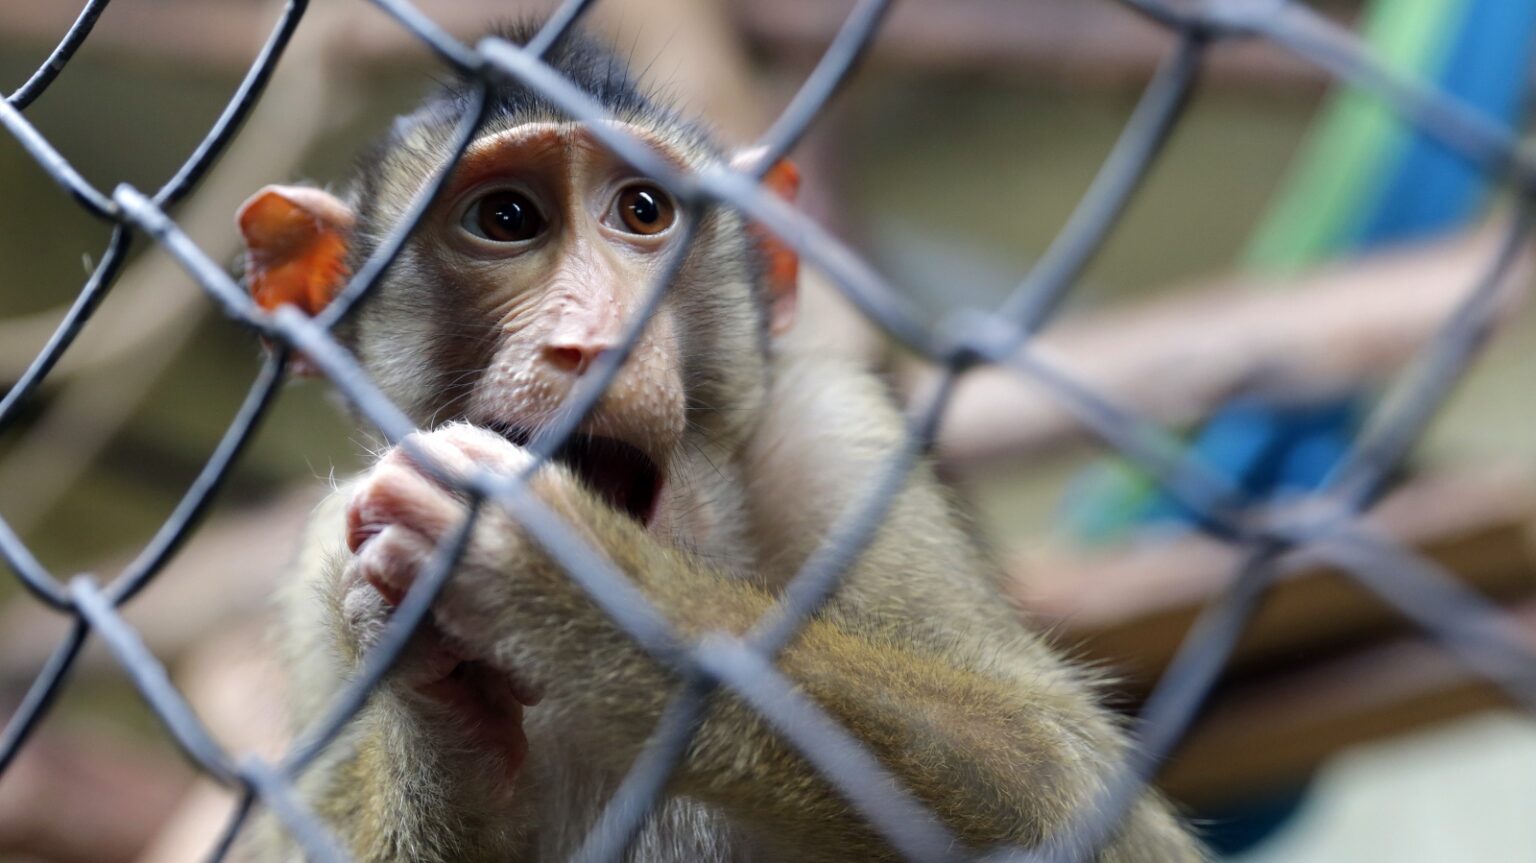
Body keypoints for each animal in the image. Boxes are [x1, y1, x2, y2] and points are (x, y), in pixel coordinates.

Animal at [234, 22, 1206, 863]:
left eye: (642, 209)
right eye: (505, 218)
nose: (592, 341)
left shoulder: (835, 436)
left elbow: (1063, 772)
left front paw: (562, 573)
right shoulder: (323, 558)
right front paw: (441, 713)